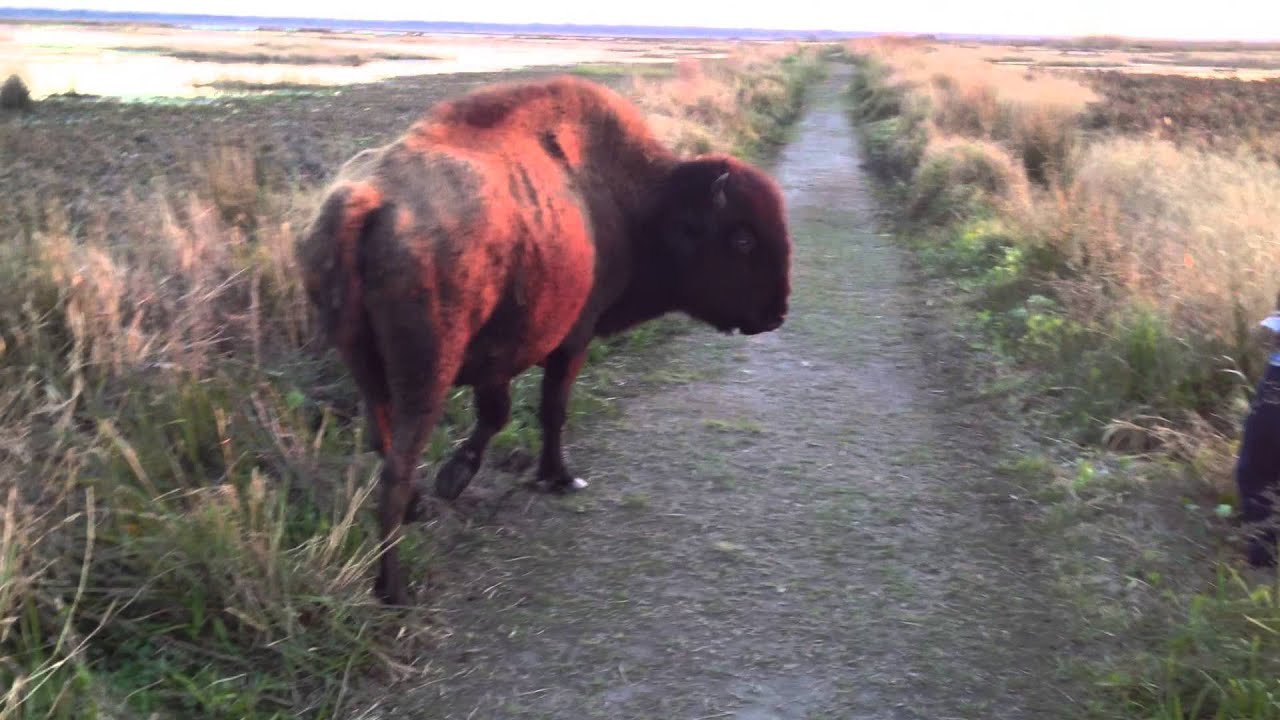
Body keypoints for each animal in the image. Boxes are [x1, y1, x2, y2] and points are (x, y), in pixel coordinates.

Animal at [297, 74, 792, 604]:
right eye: (742, 240)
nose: (776, 313)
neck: (634, 201)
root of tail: (365, 203)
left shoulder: (498, 356)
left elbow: (497, 413)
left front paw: (456, 477)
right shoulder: (573, 339)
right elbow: (550, 409)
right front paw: (558, 476)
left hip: (366, 366)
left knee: (382, 440)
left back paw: (415, 511)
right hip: (426, 375)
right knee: (396, 465)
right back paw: (394, 589)